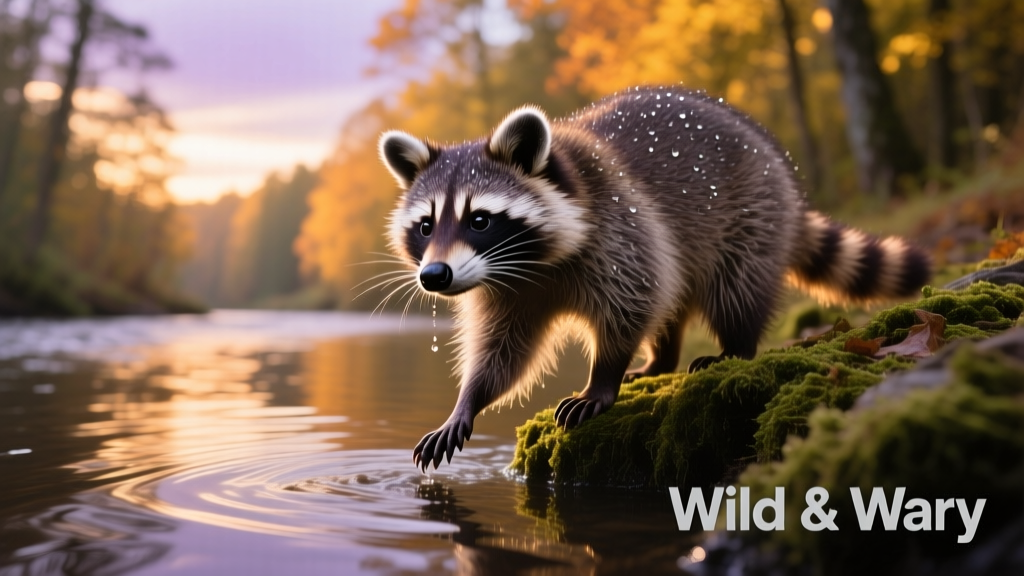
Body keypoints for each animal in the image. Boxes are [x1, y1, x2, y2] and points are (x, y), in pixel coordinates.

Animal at [378, 85, 930, 471]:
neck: (533, 264)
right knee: (674, 299)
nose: (434, 275)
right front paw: (467, 401)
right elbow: (503, 351)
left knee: (734, 286)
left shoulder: (619, 230)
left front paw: (602, 378)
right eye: (425, 226)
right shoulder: (508, 290)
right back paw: (661, 359)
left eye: (479, 220)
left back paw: (735, 346)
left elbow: (631, 304)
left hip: (750, 212)